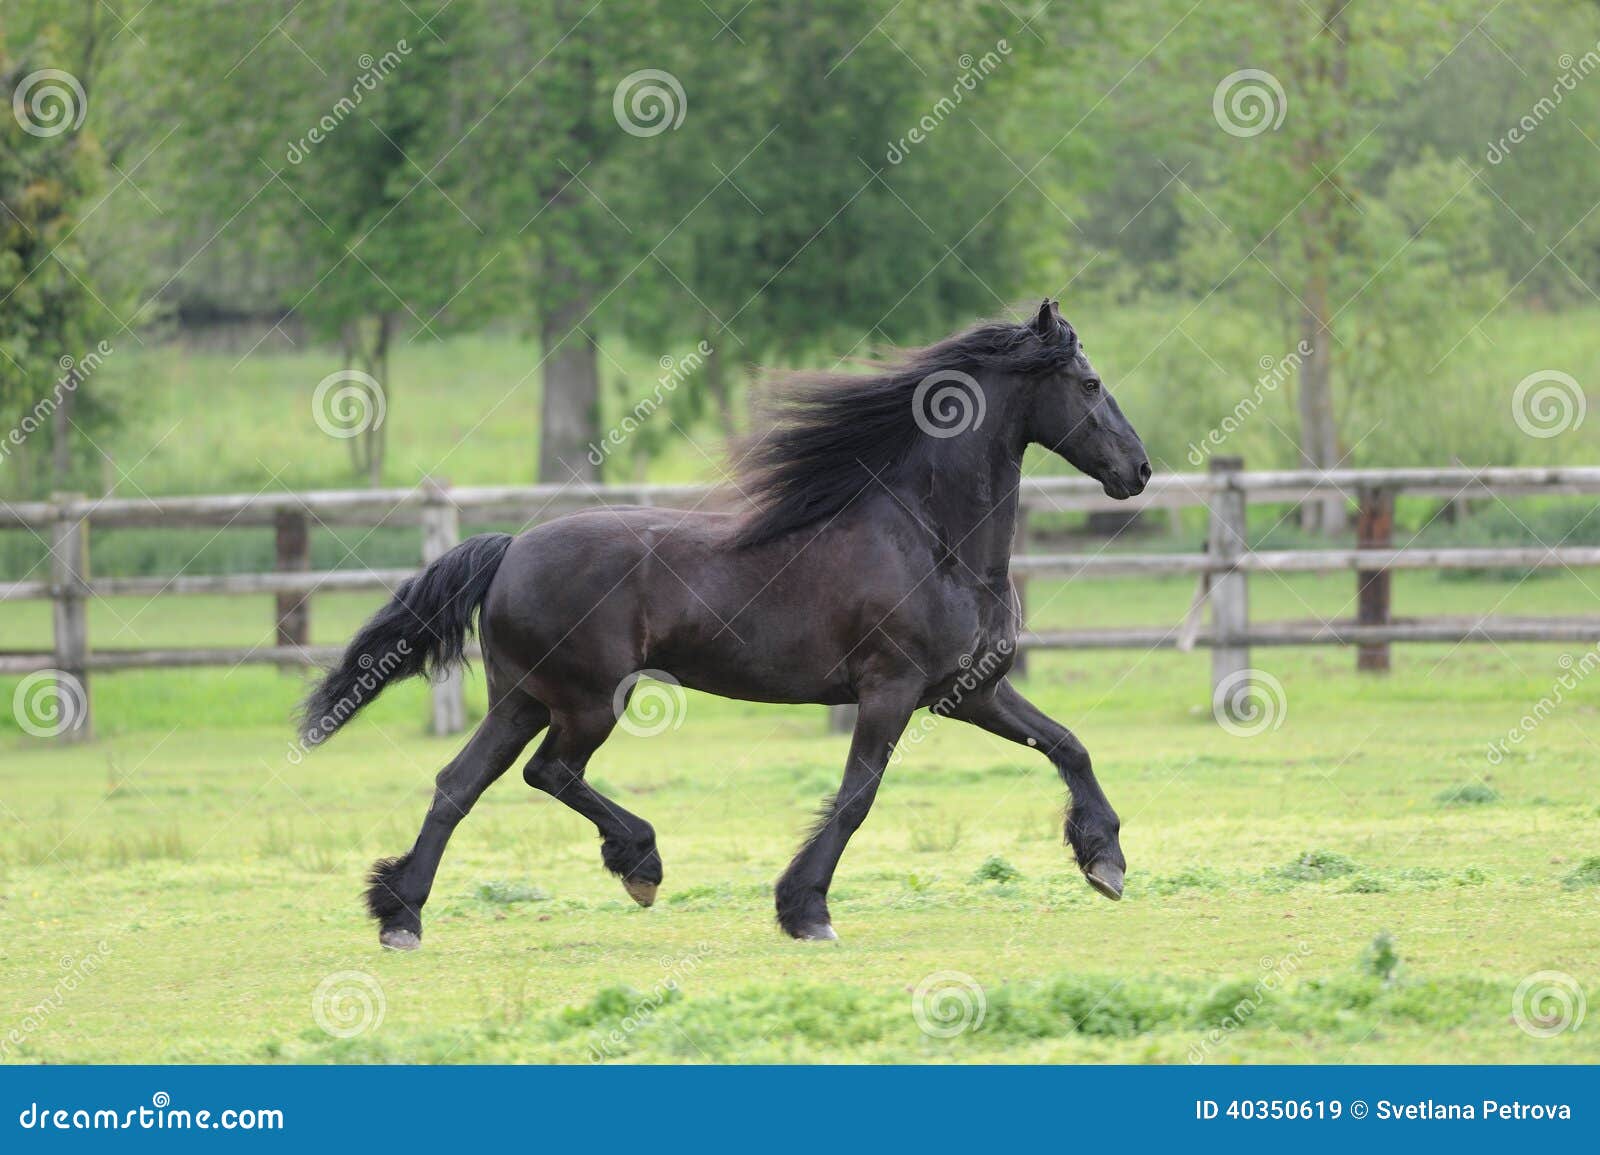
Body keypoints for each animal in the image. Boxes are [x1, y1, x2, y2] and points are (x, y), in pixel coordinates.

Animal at [300, 298, 1150, 949]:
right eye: (1089, 381)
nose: (1137, 470)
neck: (933, 539)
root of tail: (509, 548)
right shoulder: (891, 690)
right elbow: (857, 797)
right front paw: (806, 911)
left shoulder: (971, 691)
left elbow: (1069, 744)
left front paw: (1105, 860)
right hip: (585, 700)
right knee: (549, 772)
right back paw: (640, 863)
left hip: (521, 699)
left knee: (458, 784)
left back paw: (401, 915)